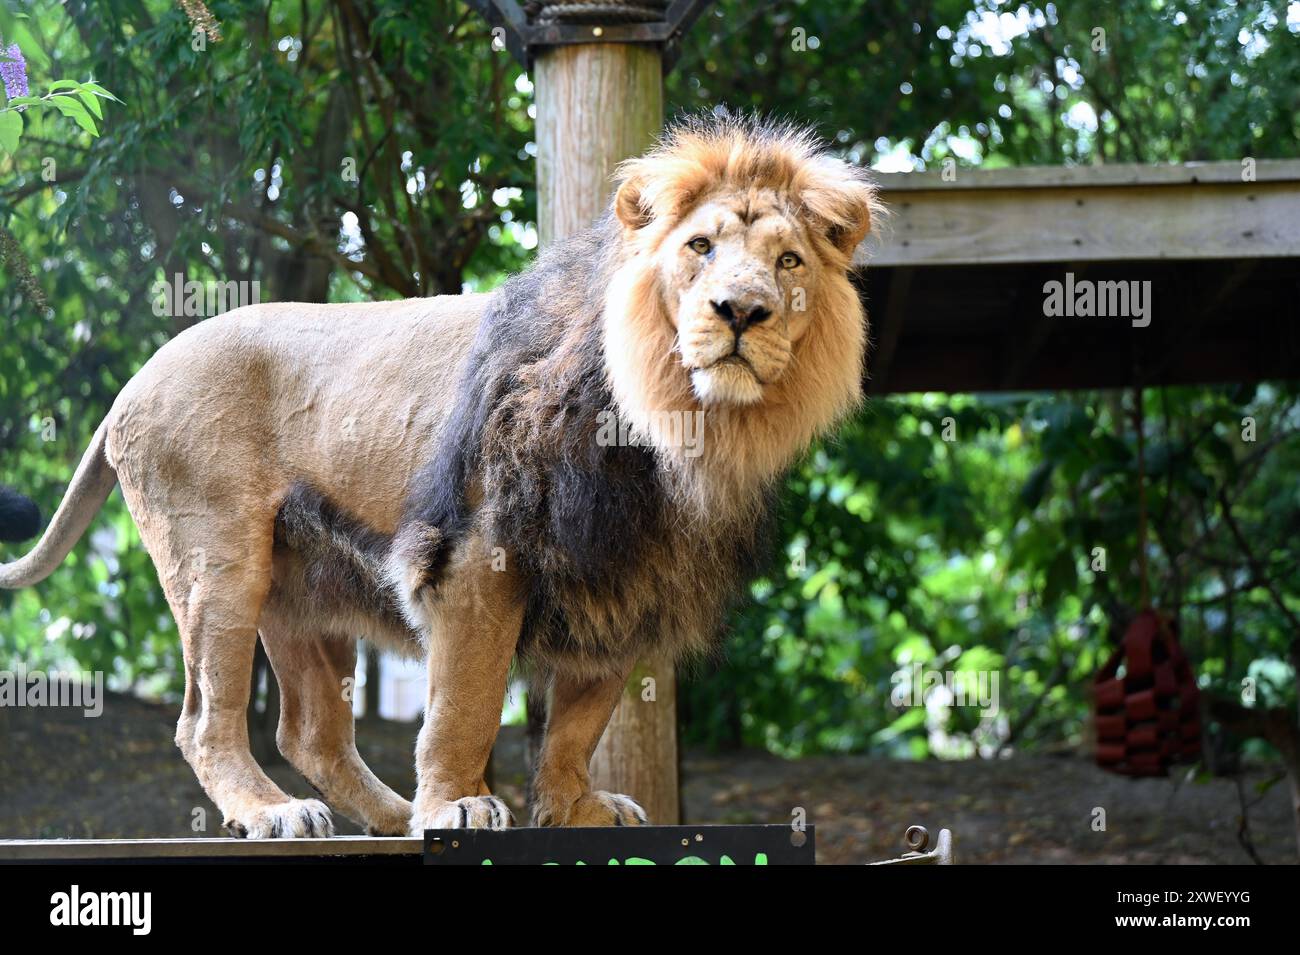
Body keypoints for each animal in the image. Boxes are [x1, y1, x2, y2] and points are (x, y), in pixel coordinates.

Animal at [0, 113, 878, 838]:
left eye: (788, 260)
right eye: (700, 248)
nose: (742, 311)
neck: (676, 429)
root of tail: (130, 386)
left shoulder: (623, 573)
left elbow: (580, 718)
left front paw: (574, 806)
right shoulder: (477, 556)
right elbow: (466, 701)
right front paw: (456, 804)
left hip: (303, 587)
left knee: (309, 731)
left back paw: (387, 815)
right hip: (217, 563)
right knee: (204, 720)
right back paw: (276, 812)